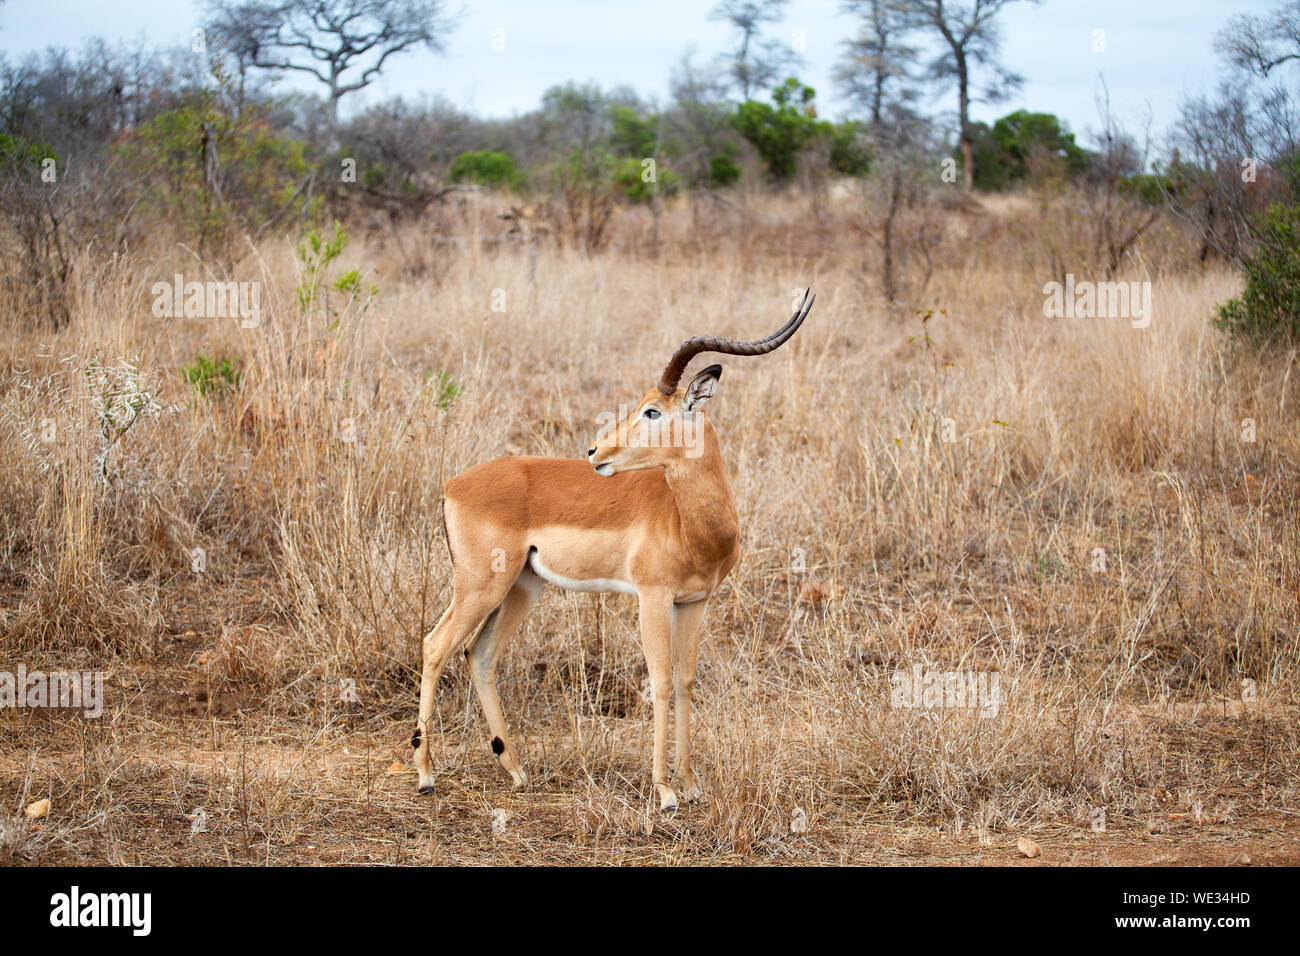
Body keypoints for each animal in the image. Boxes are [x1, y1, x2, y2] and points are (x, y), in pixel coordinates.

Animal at [412, 289, 815, 812]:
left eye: (652, 411)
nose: (594, 451)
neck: (690, 523)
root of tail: (452, 485)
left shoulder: (695, 602)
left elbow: (685, 679)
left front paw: (690, 783)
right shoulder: (652, 596)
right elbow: (660, 679)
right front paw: (664, 791)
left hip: (521, 586)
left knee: (478, 654)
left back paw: (516, 770)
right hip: (481, 584)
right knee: (435, 645)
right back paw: (425, 774)